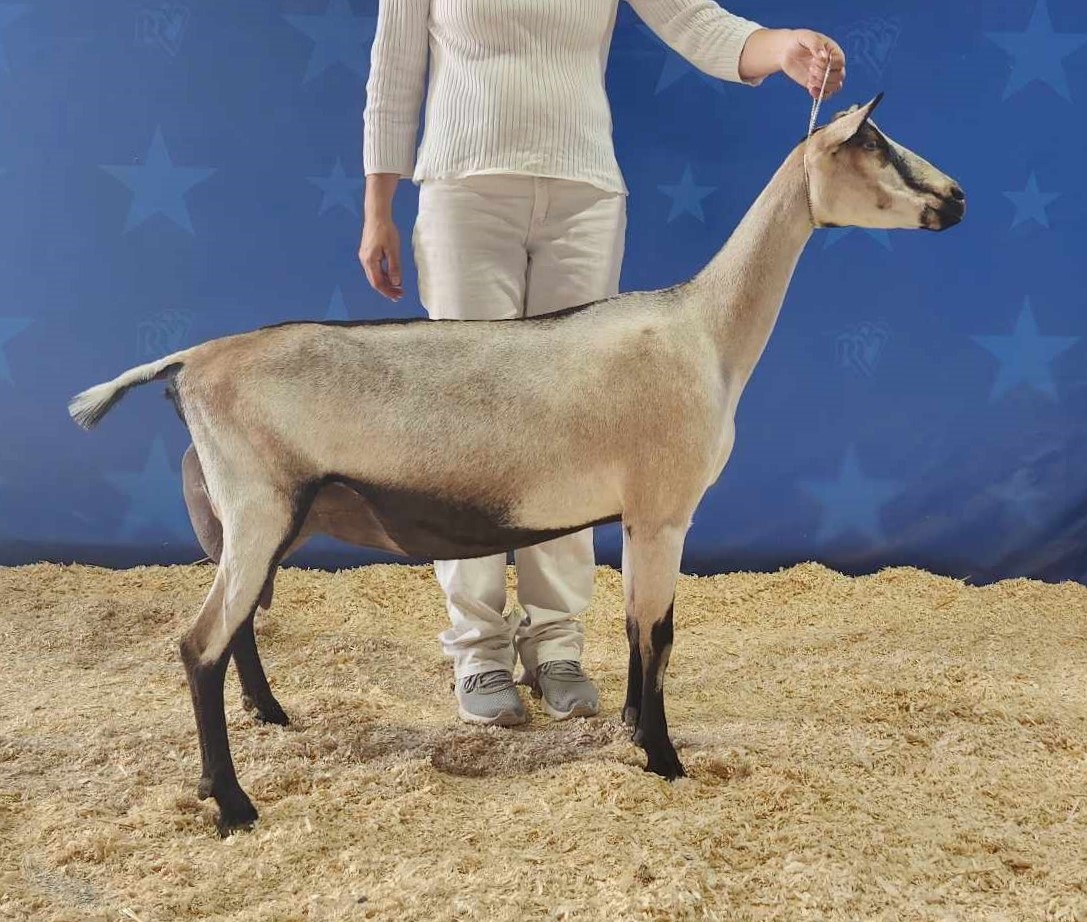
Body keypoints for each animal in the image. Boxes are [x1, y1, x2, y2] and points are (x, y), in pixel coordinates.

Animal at [69, 95, 965, 833]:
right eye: (872, 142)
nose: (955, 199)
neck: (703, 330)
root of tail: (188, 361)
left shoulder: (636, 518)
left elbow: (638, 627)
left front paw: (631, 728)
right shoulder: (663, 508)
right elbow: (658, 630)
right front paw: (663, 758)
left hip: (260, 518)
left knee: (240, 625)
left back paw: (272, 717)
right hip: (260, 506)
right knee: (199, 645)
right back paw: (232, 804)